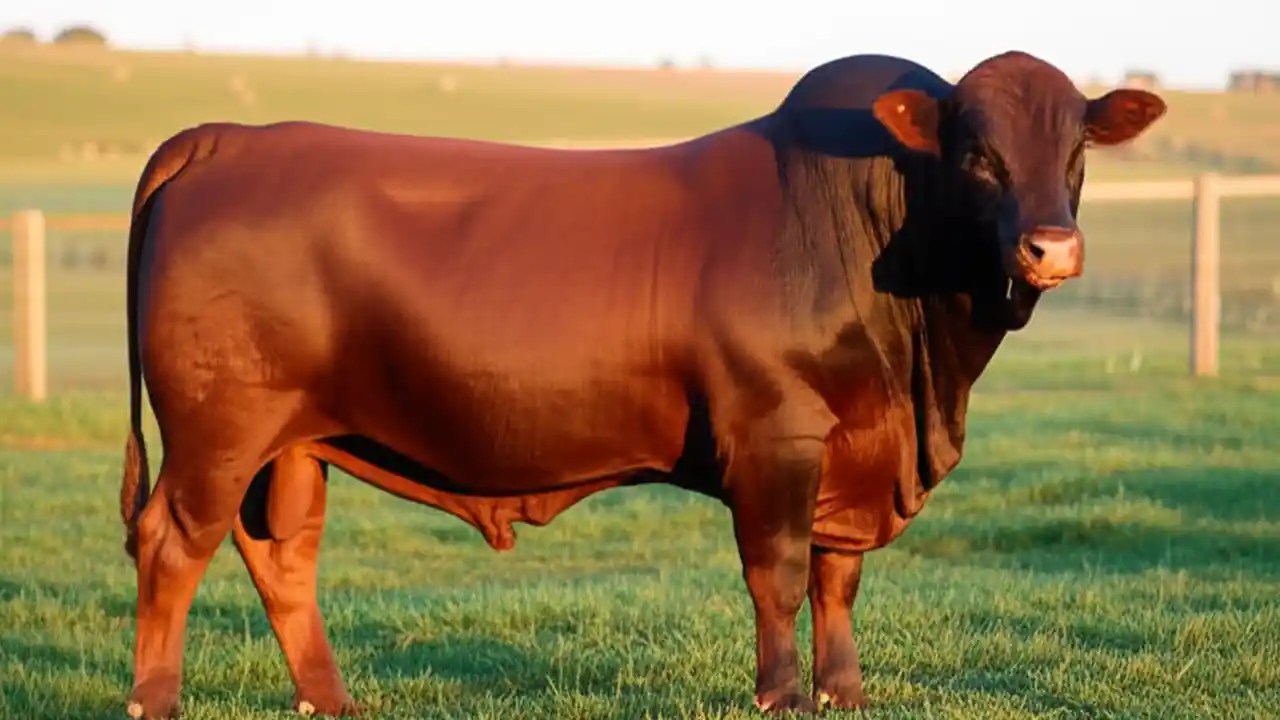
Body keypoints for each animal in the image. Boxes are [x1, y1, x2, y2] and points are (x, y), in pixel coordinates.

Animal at [118, 50, 1164, 718]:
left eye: (1077, 151)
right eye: (976, 152)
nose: (1052, 246)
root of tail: (228, 137)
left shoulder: (857, 445)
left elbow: (839, 578)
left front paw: (846, 692)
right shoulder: (778, 432)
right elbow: (779, 574)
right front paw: (785, 696)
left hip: (293, 442)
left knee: (281, 555)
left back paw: (333, 704)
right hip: (218, 430)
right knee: (173, 546)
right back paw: (156, 702)